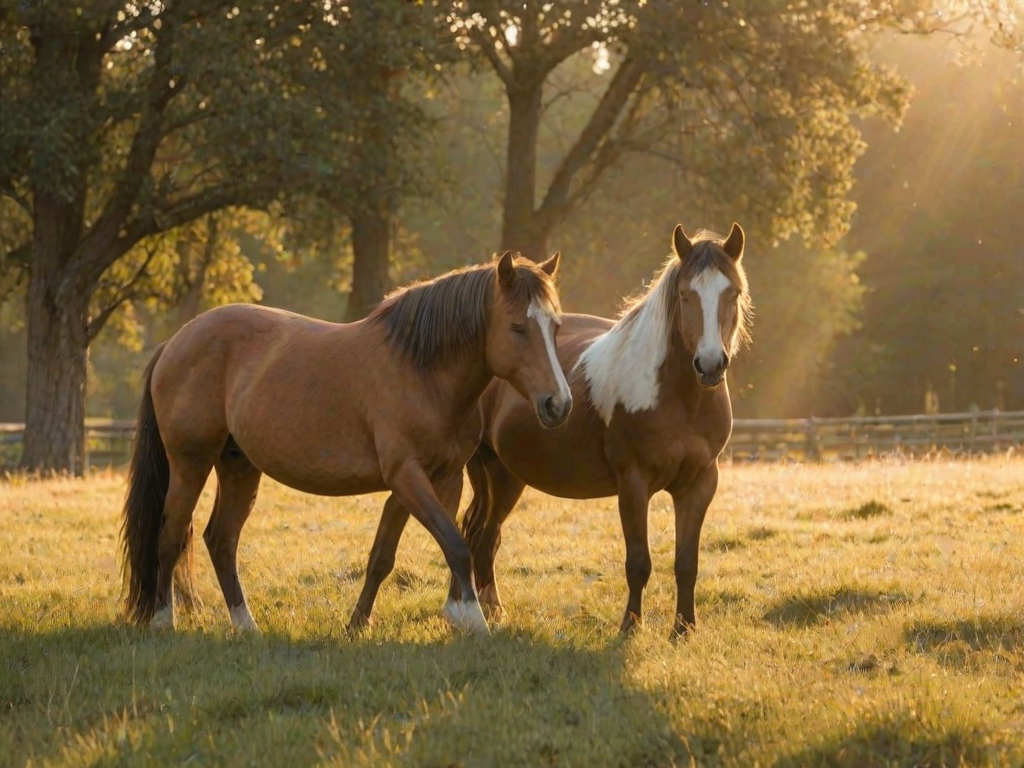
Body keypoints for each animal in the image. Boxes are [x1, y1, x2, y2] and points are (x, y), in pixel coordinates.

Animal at [120, 251, 572, 637]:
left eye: (555, 327)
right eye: (517, 327)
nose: (558, 404)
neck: (421, 371)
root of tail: (176, 342)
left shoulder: (440, 479)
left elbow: (393, 555)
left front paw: (363, 624)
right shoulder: (407, 476)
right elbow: (456, 546)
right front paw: (474, 621)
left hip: (238, 466)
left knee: (221, 540)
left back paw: (246, 626)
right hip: (190, 464)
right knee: (170, 536)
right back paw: (163, 621)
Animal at [459, 224, 752, 638]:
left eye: (733, 293)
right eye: (685, 294)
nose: (710, 365)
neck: (677, 398)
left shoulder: (698, 485)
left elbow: (686, 564)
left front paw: (684, 630)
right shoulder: (633, 483)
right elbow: (639, 562)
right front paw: (629, 627)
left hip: (504, 474)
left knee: (484, 539)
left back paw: (493, 613)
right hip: (488, 471)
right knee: (478, 537)